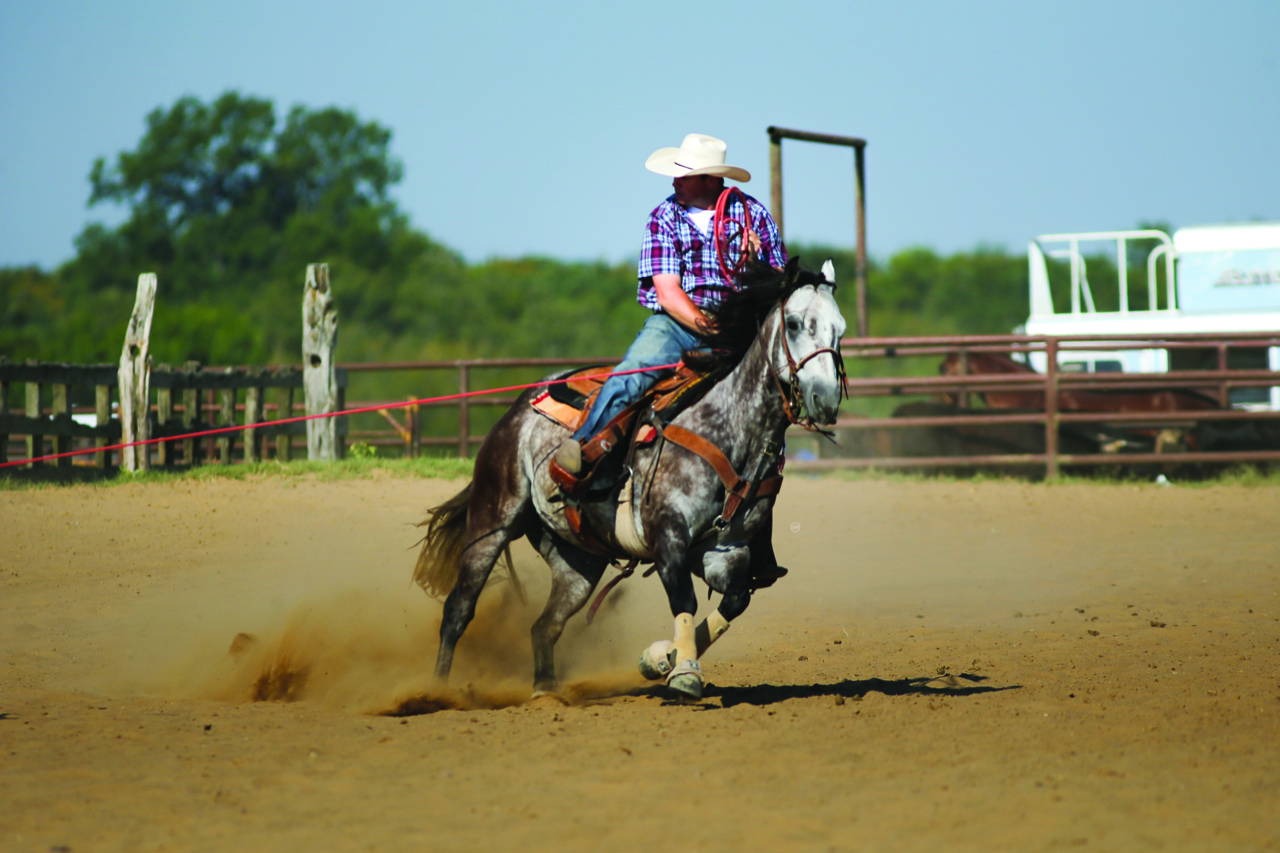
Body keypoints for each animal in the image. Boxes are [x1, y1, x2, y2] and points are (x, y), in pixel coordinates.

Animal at [412, 258, 847, 700]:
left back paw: (546, 691)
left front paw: (660, 658)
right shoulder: (667, 536)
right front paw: (682, 669)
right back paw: (434, 692)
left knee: (545, 626)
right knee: (459, 609)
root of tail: (518, 410)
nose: (826, 399)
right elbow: (684, 600)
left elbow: (735, 600)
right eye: (793, 323)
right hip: (493, 518)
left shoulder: (725, 550)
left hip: (579, 562)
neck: (729, 428)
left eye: (839, 329)